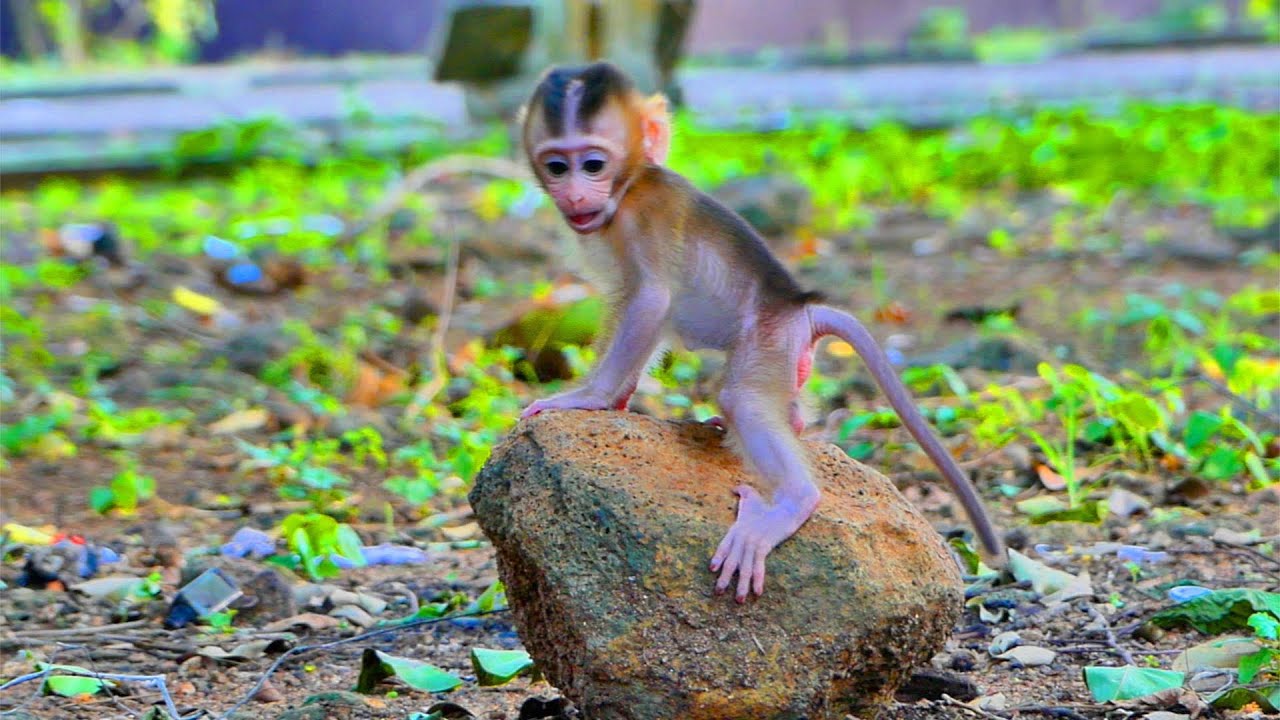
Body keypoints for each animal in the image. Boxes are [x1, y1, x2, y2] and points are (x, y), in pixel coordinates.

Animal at [518, 62, 1003, 603]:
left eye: (593, 164)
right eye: (556, 167)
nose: (574, 194)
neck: (631, 186)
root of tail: (801, 311)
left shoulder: (645, 219)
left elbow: (650, 302)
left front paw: (591, 397)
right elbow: (635, 306)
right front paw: (620, 397)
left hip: (769, 340)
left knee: (746, 401)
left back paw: (791, 501)